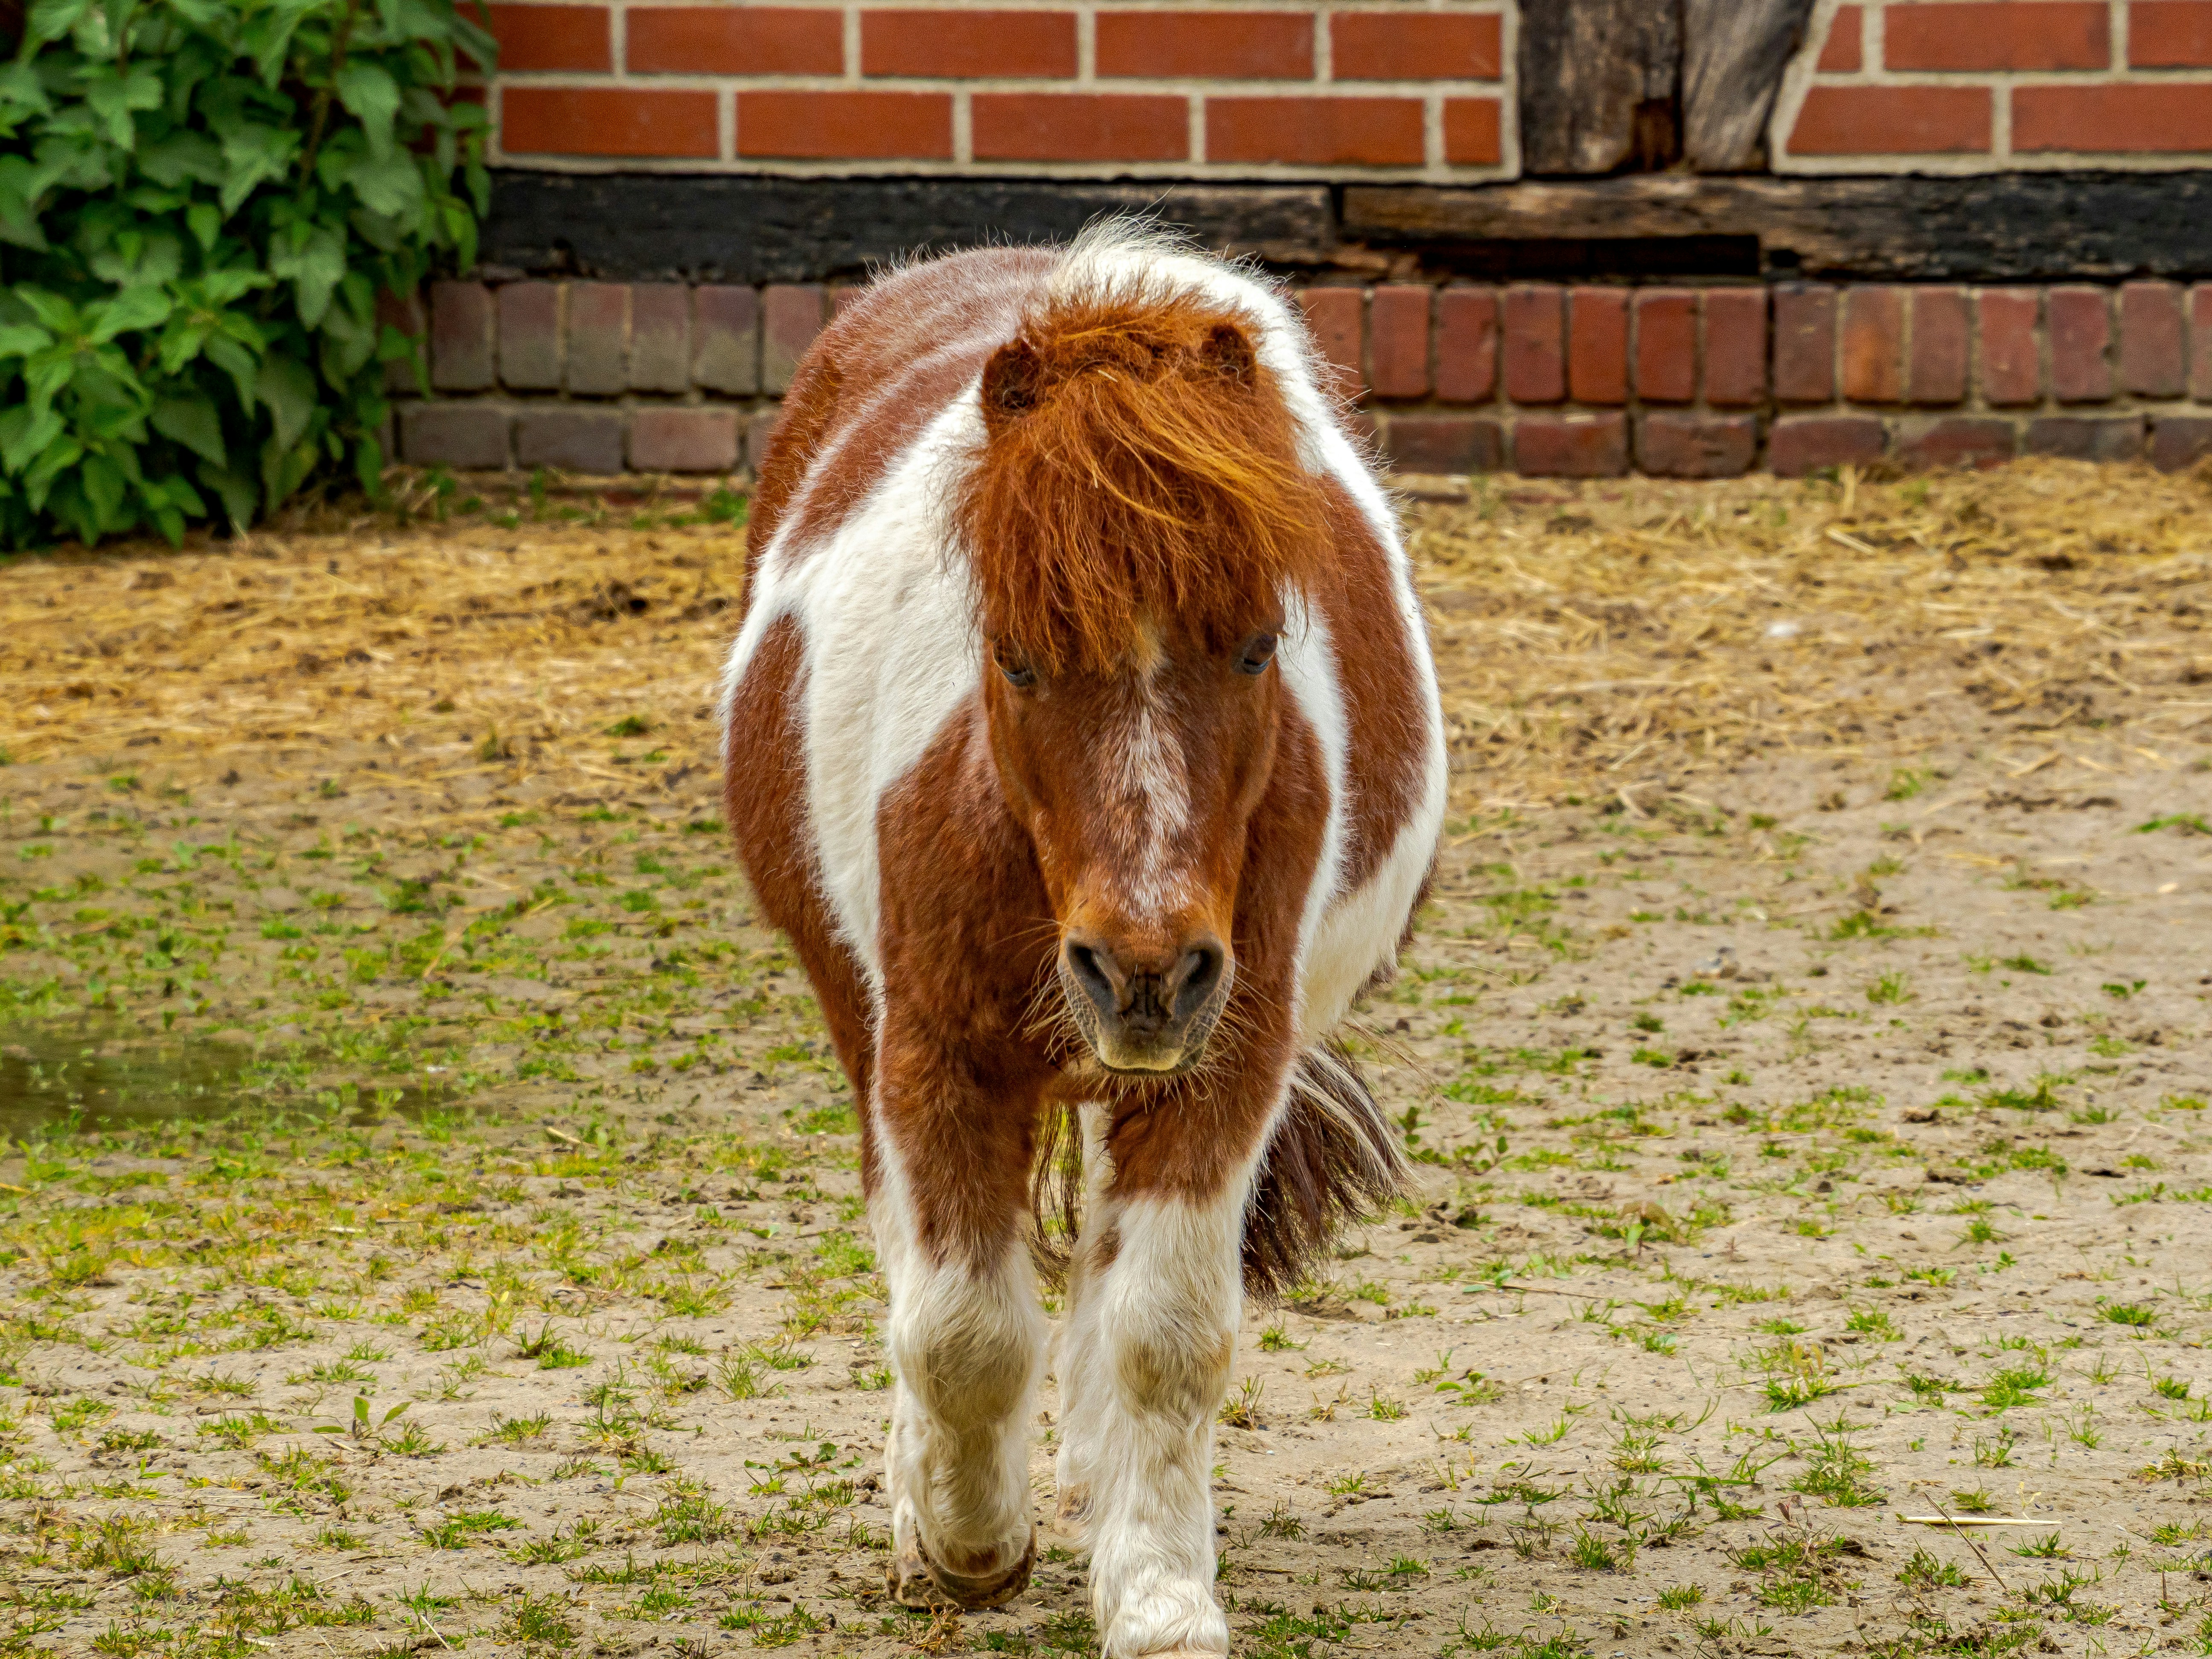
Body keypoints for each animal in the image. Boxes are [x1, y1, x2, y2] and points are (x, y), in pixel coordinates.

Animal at [720, 223, 1446, 1659]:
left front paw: (1157, 1593)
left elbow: (1163, 1335)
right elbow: (958, 1328)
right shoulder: (932, 1056)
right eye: (1014, 657)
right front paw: (965, 1545)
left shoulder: (1226, 1061)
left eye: (1258, 648)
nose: (1145, 971)